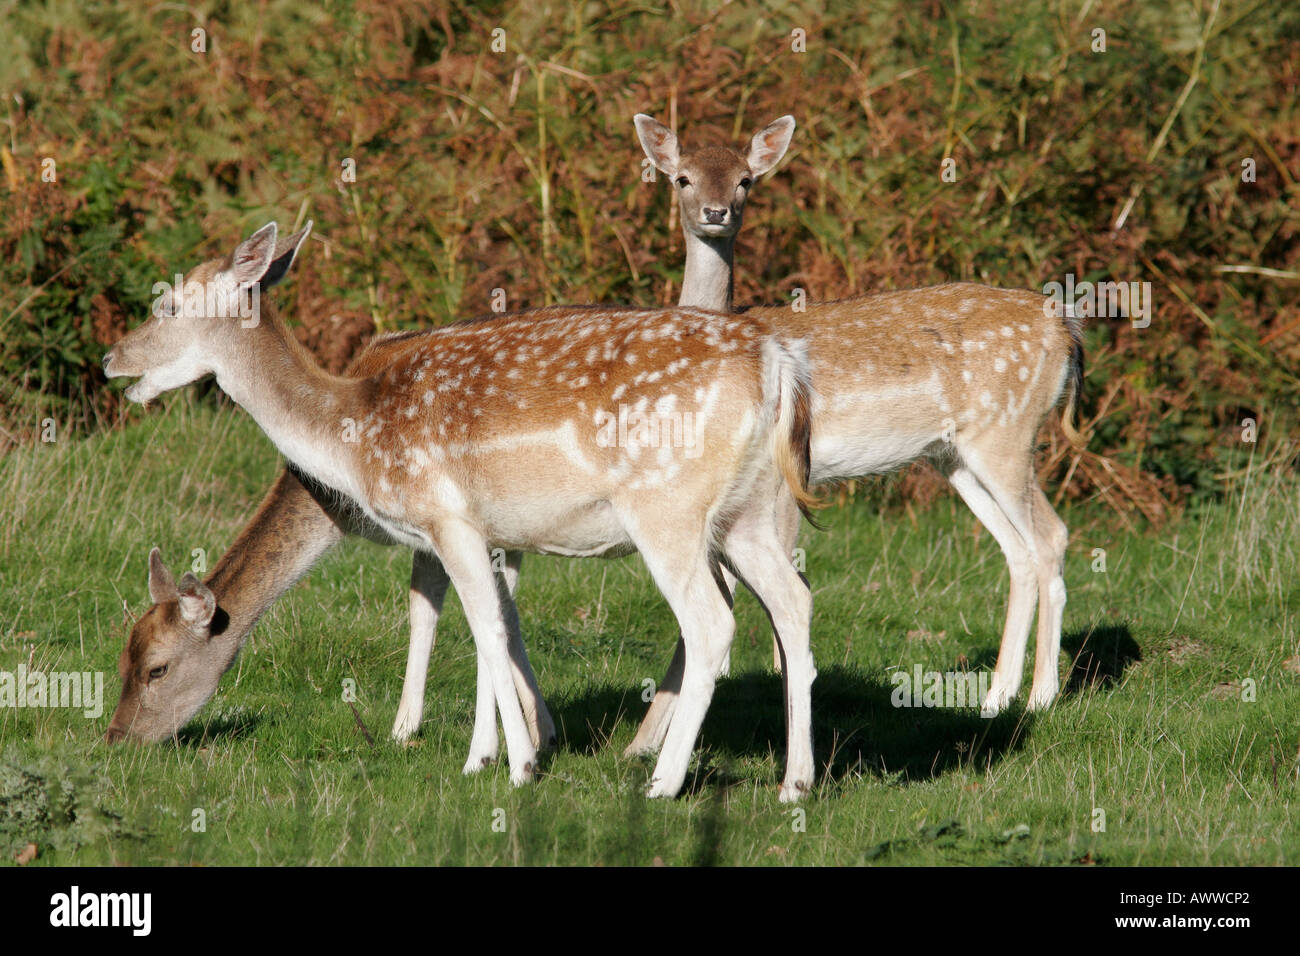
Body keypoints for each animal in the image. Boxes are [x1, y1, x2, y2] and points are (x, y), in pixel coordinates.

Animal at [103, 220, 820, 800]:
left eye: (168, 303)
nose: (113, 357)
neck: (353, 434)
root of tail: (778, 367)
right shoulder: (479, 532)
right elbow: (488, 626)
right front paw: (490, 756)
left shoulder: (447, 518)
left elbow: (485, 628)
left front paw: (515, 765)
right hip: (749, 513)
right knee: (794, 600)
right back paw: (796, 782)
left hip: (667, 507)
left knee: (712, 622)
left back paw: (663, 782)